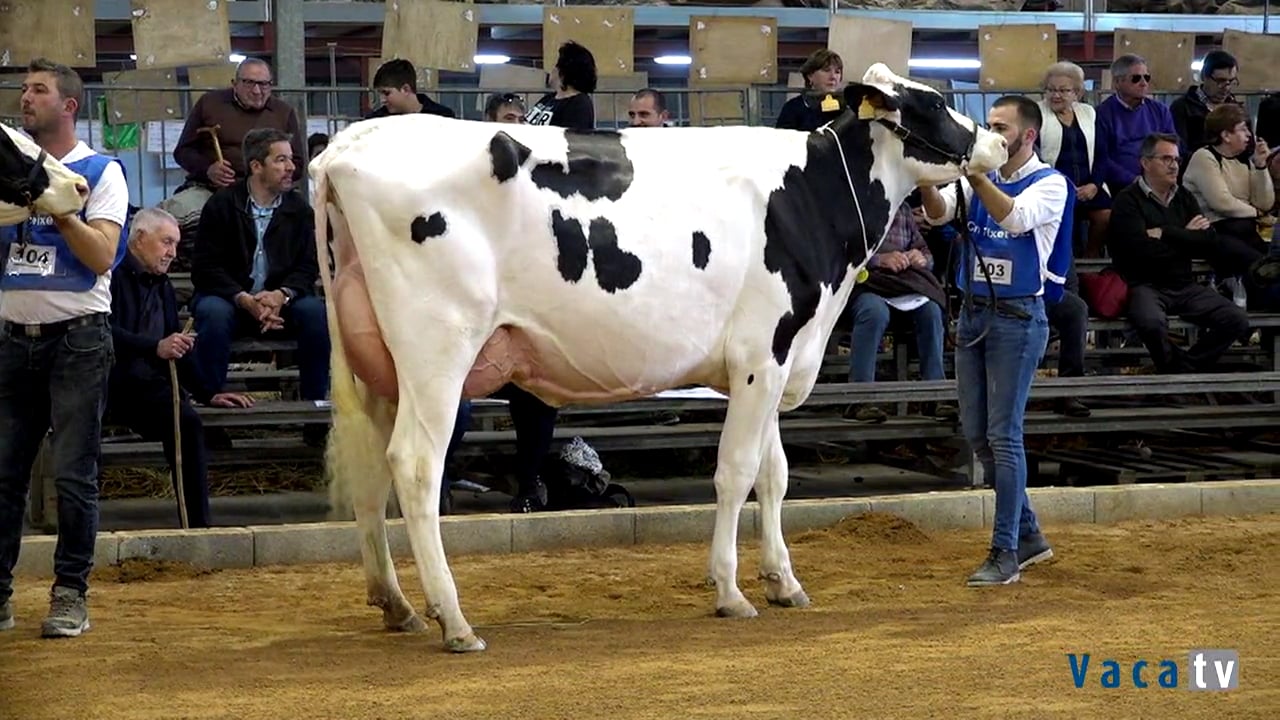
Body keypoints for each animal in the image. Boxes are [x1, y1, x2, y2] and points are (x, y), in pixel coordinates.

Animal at [311, 63, 1007, 653]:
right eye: (935, 102)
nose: (999, 140)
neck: (813, 195)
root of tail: (345, 147)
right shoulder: (761, 355)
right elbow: (735, 472)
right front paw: (730, 591)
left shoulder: (777, 359)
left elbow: (773, 474)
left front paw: (783, 582)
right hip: (438, 350)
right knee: (415, 466)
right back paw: (453, 620)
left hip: (376, 364)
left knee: (371, 472)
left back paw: (396, 605)